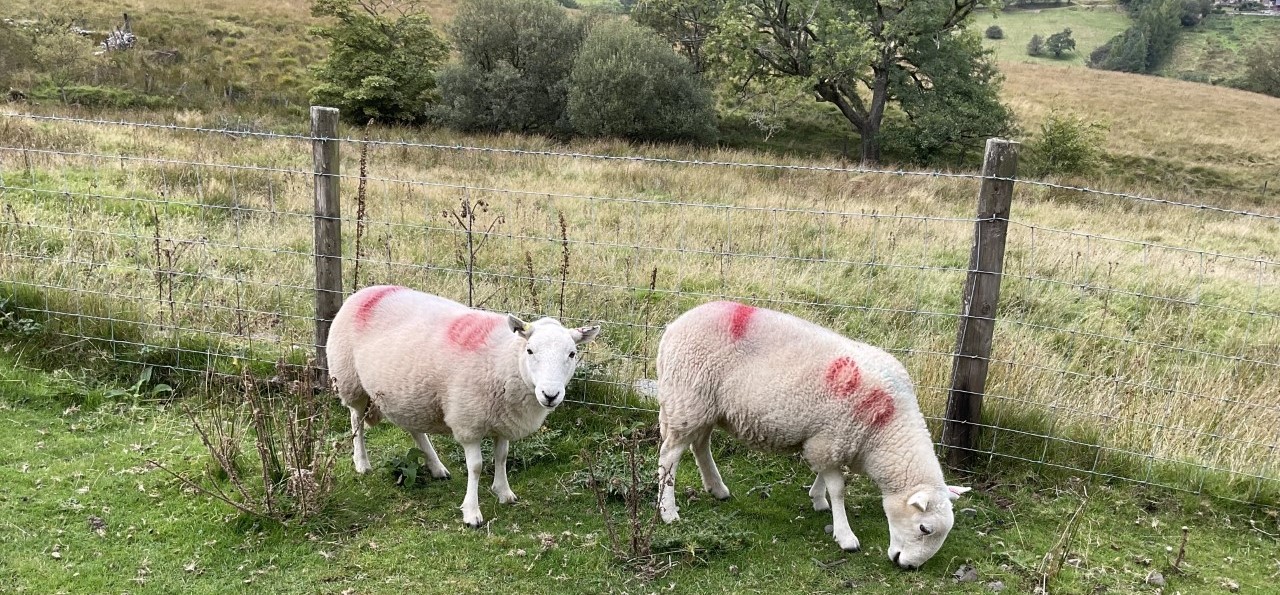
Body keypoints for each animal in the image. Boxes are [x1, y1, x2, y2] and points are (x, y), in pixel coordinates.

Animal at [326, 285, 600, 527]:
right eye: (530, 350)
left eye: (572, 354)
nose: (550, 395)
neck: (503, 360)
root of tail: (366, 291)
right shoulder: (468, 422)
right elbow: (476, 467)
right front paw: (472, 512)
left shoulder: (503, 420)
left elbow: (501, 457)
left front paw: (504, 492)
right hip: (351, 381)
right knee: (356, 421)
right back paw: (362, 463)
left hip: (408, 395)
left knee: (414, 429)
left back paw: (436, 466)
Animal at [655, 300, 969, 568]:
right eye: (924, 528)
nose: (908, 566)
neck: (886, 429)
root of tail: (672, 328)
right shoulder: (830, 438)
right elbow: (839, 488)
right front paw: (845, 536)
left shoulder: (828, 439)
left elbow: (824, 475)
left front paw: (817, 498)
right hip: (688, 398)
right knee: (669, 457)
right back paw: (668, 512)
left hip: (704, 406)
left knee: (700, 445)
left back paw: (717, 489)